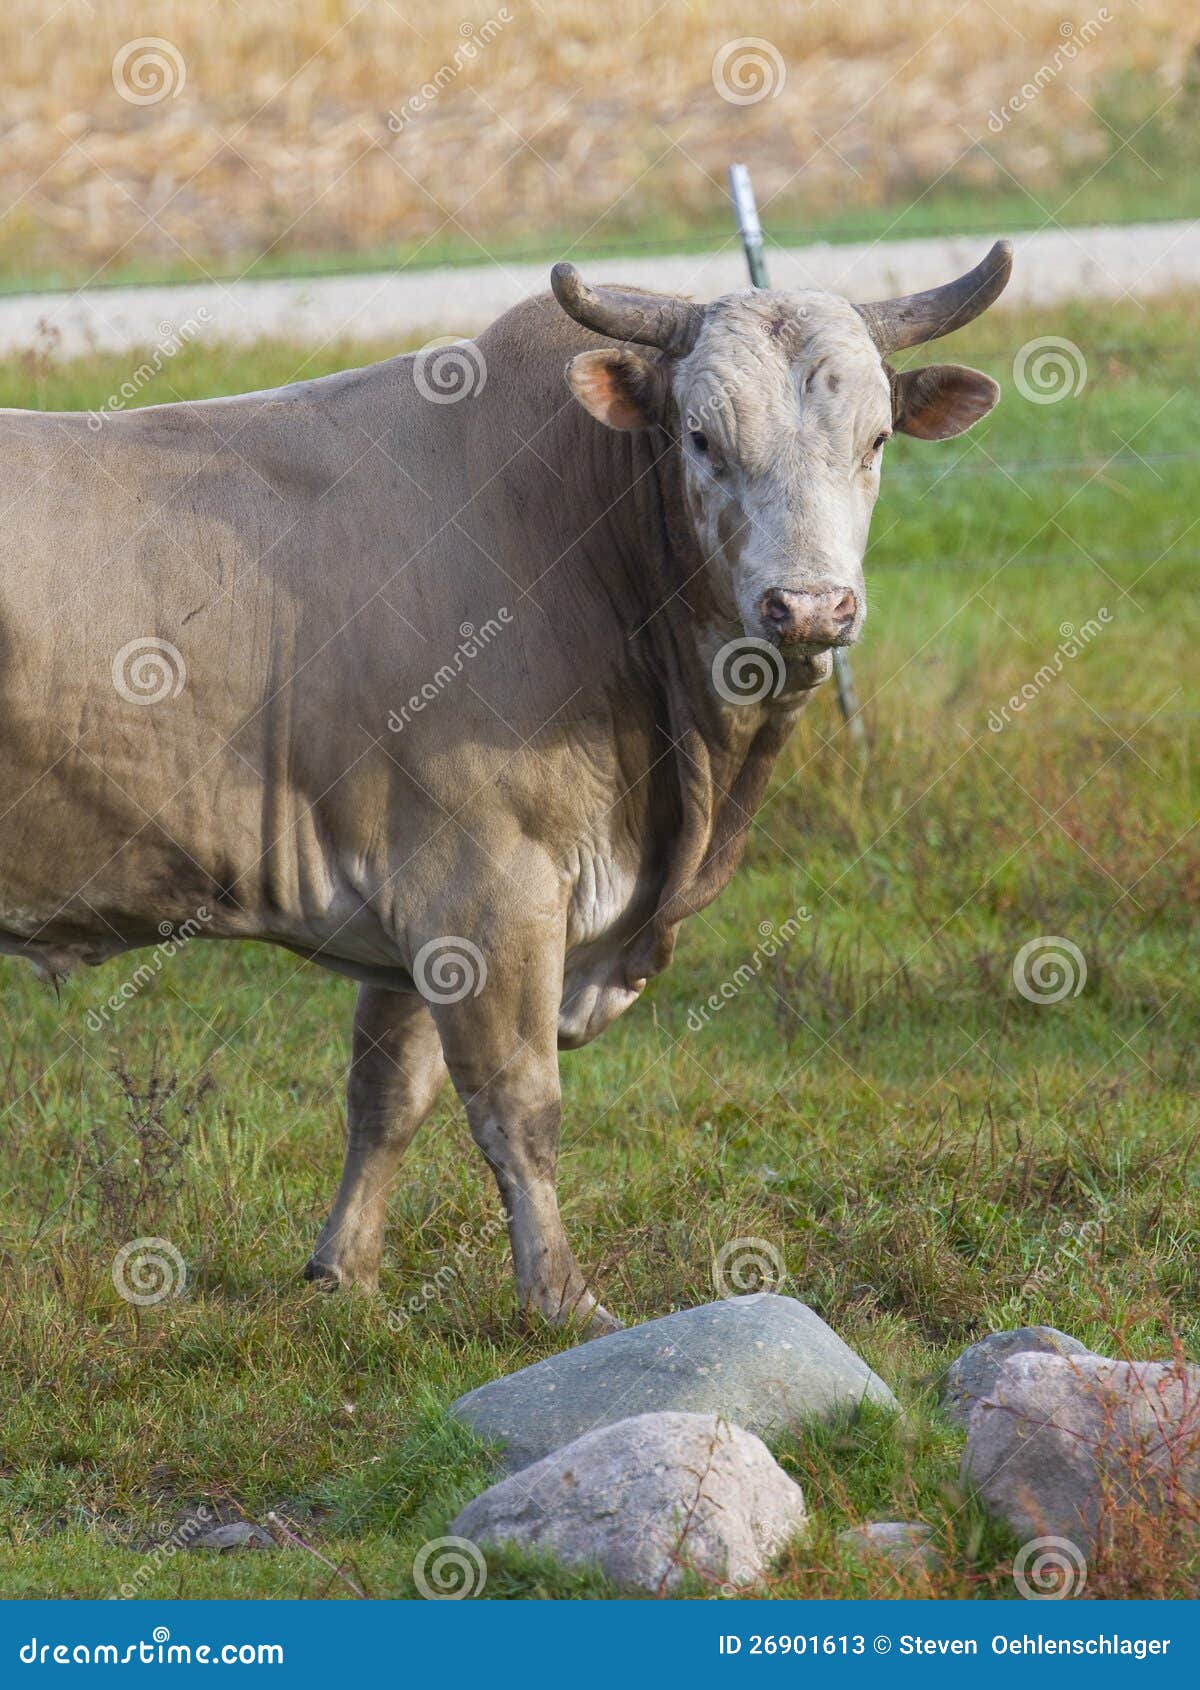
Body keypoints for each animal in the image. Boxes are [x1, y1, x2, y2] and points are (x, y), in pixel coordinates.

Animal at [0, 242, 1012, 1332]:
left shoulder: (408, 905)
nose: (812, 606)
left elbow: (387, 1094)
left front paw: (343, 1273)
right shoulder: (483, 886)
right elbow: (519, 1107)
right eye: (702, 439)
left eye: (876, 439)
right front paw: (564, 1302)